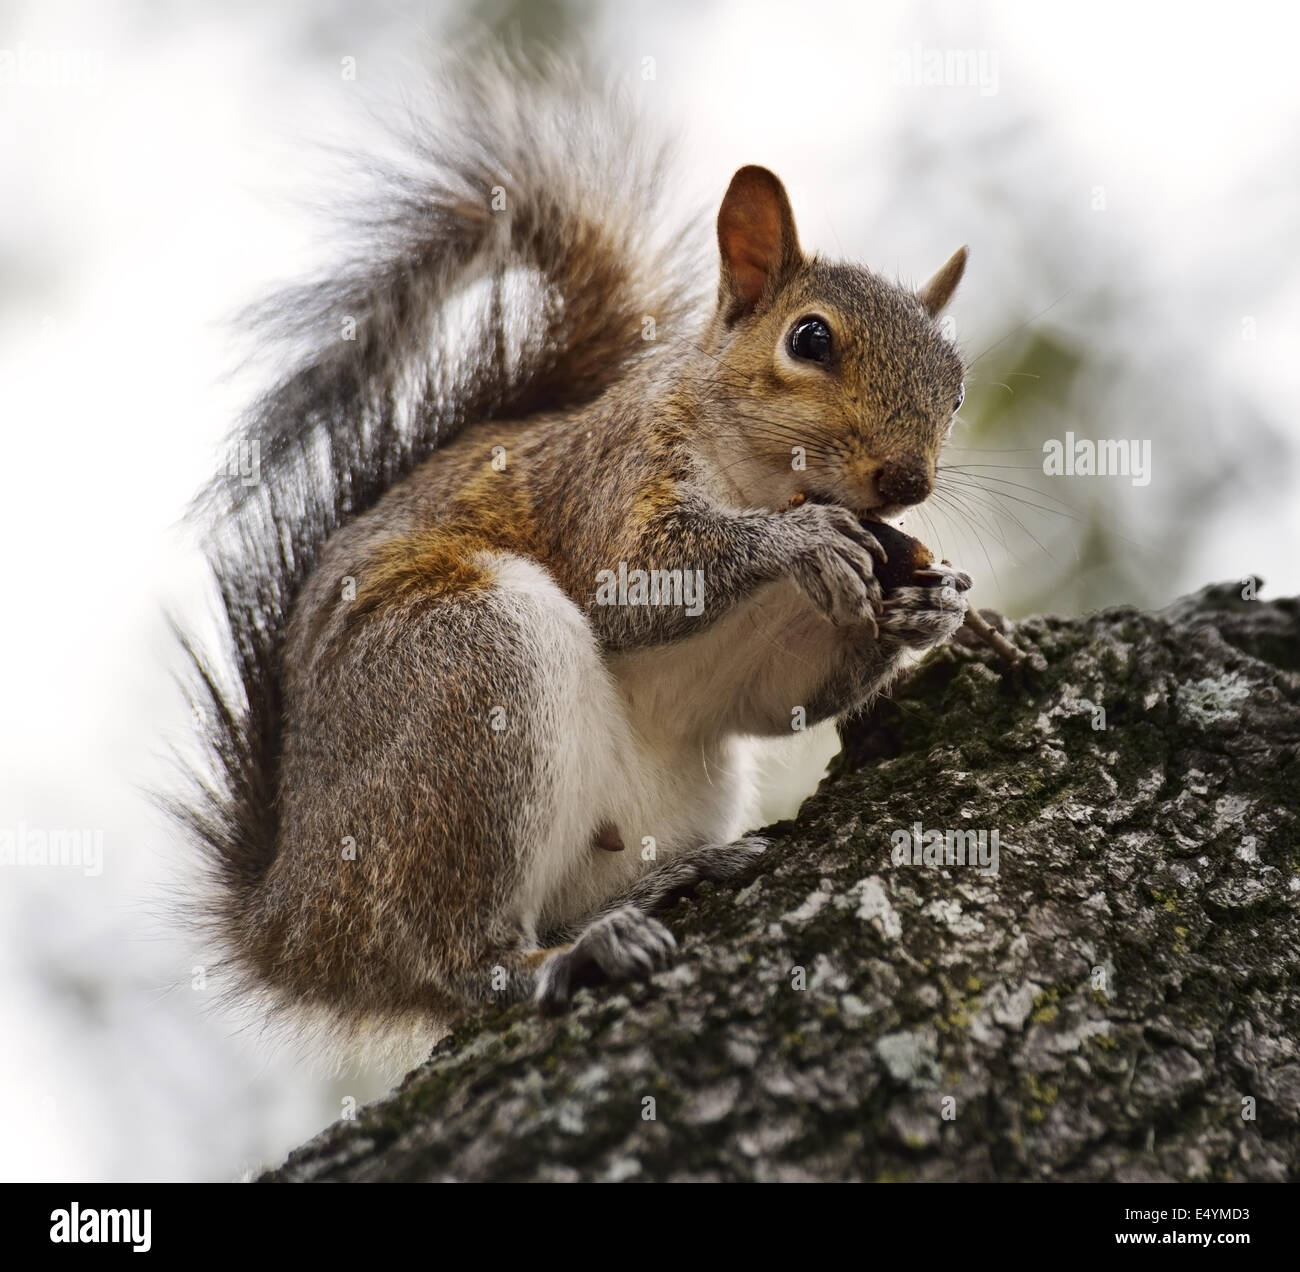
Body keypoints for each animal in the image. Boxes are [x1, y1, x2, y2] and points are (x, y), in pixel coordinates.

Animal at [176, 57, 973, 1064]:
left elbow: (770, 696)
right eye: (810, 339)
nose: (907, 479)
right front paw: (802, 544)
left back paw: (661, 885)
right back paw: (565, 957)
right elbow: (629, 581)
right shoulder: (610, 478)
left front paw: (930, 608)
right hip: (461, 677)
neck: (761, 482)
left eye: (957, 388)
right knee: (454, 960)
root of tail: (294, 922)